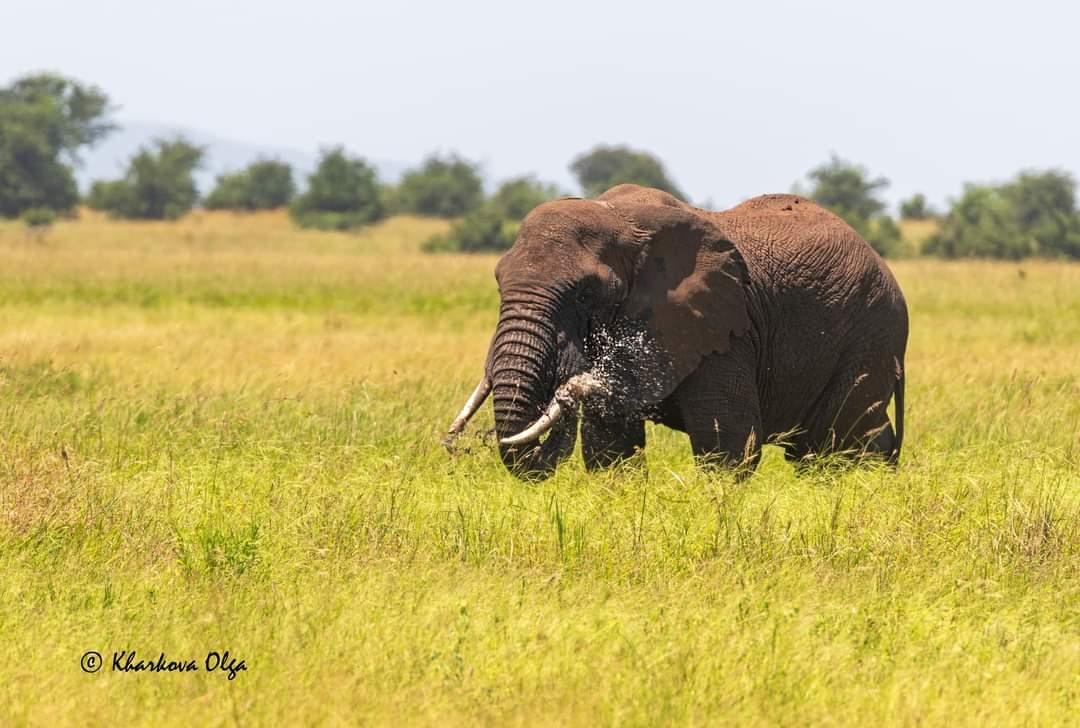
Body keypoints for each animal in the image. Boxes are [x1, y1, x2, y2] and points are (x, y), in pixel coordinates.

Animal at [442, 181, 907, 479]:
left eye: (586, 293)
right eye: (499, 282)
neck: (621, 220)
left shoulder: (723, 330)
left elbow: (728, 445)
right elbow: (610, 446)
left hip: (871, 337)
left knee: (837, 447)